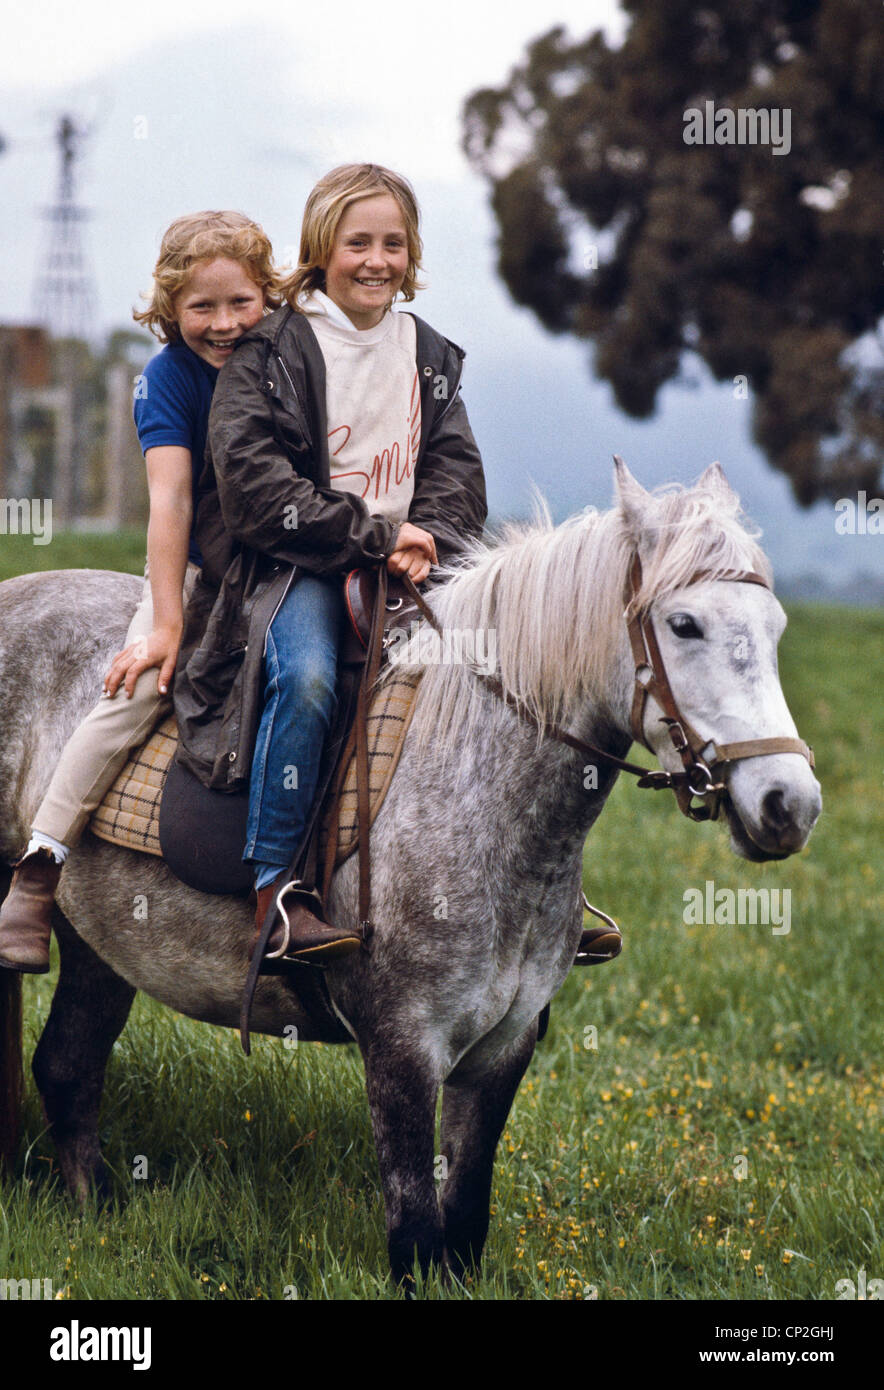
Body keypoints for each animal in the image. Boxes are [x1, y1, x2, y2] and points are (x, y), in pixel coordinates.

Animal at [0, 460, 821, 1285]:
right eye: (684, 626)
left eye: (778, 630)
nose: (791, 804)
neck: (478, 796)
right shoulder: (402, 1045)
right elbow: (417, 1238)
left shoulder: (502, 1049)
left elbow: (464, 1223)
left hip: (100, 944)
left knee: (66, 1067)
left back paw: (99, 1213)